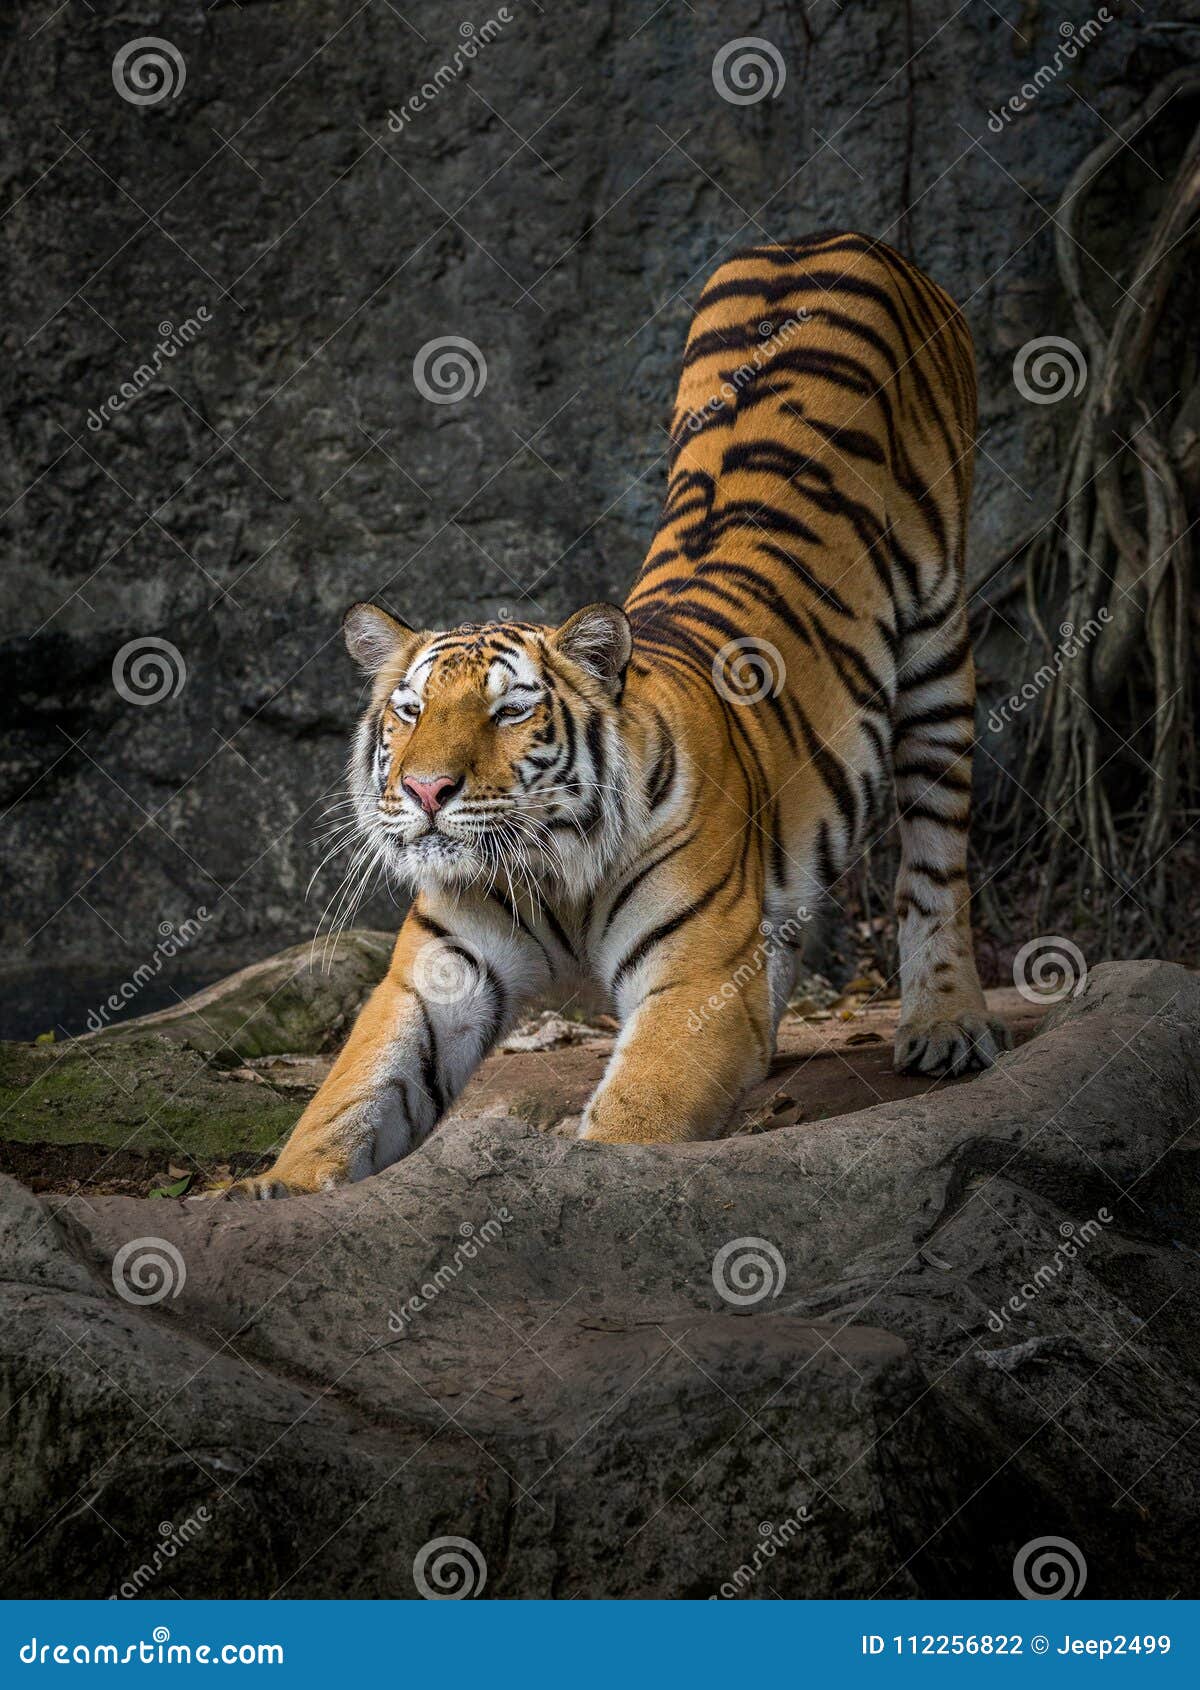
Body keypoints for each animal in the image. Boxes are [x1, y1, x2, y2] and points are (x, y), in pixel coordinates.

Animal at [226, 229, 1012, 1198]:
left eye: (509, 711)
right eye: (409, 711)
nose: (425, 791)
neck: (550, 872)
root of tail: (830, 237)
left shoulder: (695, 983)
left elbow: (632, 1124)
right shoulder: (435, 972)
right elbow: (347, 1099)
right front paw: (271, 1190)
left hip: (940, 644)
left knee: (936, 856)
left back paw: (945, 1024)